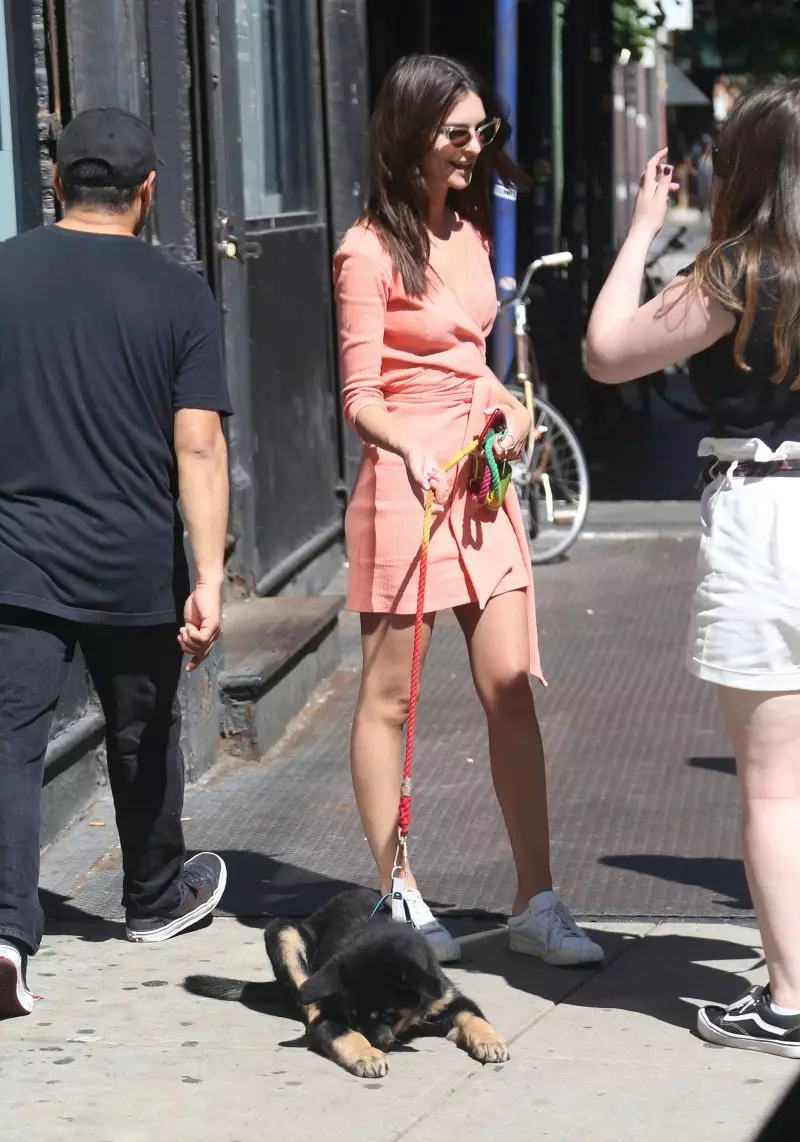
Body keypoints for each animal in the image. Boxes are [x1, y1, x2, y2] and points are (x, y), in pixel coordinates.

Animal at [264, 881, 508, 1078]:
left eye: (388, 1015)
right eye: (352, 1017)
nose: (376, 1044)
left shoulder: (446, 998)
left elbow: (473, 1016)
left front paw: (491, 1041)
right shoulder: (330, 1013)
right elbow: (343, 1032)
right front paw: (366, 1054)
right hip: (284, 932)